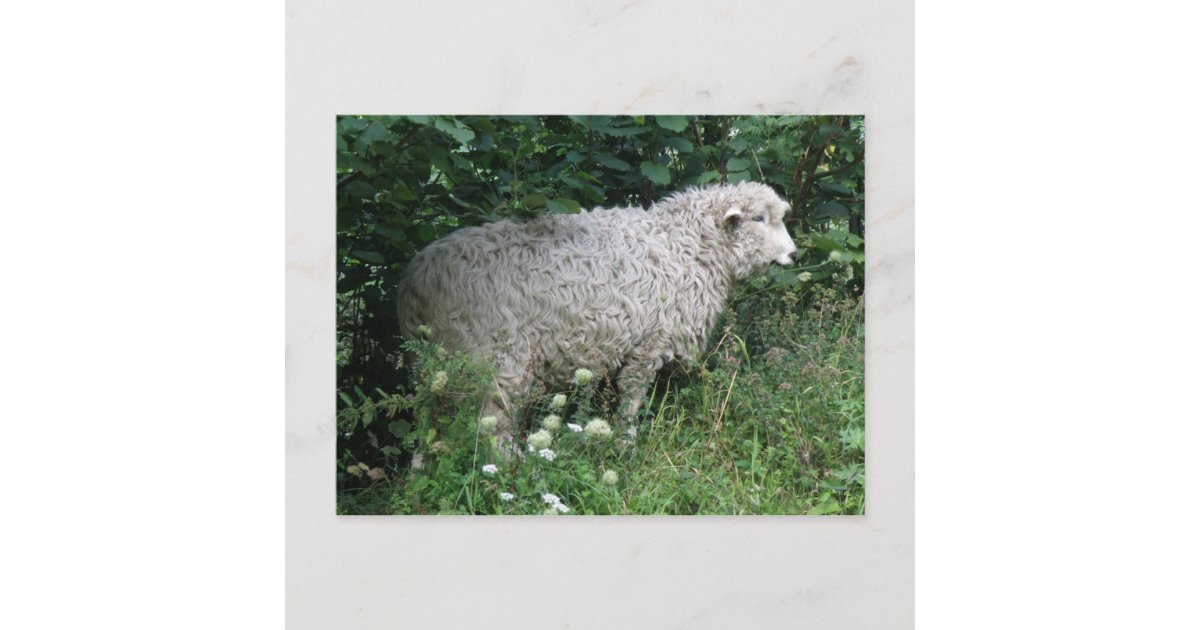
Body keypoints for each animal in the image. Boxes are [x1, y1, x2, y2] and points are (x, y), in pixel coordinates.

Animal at [397, 181, 798, 448]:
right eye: (759, 218)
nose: (794, 254)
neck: (686, 246)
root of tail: (415, 281)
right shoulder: (649, 343)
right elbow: (631, 399)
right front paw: (625, 445)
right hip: (495, 356)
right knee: (492, 421)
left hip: (436, 366)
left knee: (427, 421)